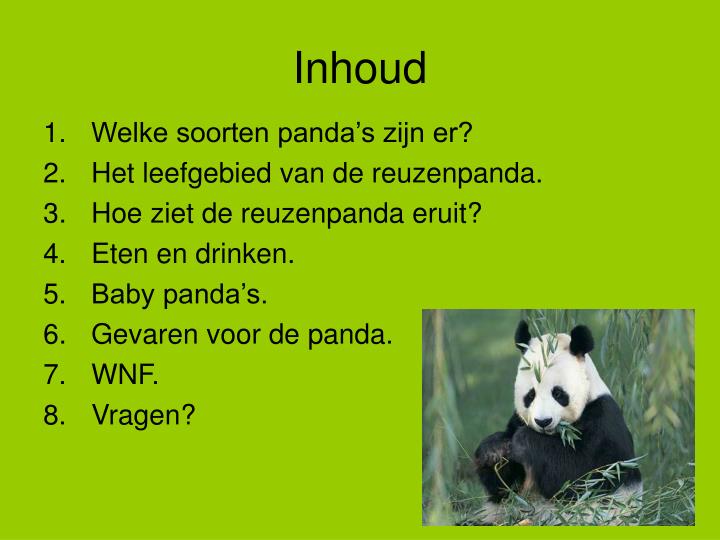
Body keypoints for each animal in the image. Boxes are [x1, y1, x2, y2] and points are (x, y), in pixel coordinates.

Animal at [474, 321, 642, 525]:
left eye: (558, 393)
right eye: (530, 395)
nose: (543, 421)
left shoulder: (603, 423)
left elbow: (579, 476)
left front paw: (524, 441)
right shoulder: (517, 420)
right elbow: (505, 488)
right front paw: (494, 450)